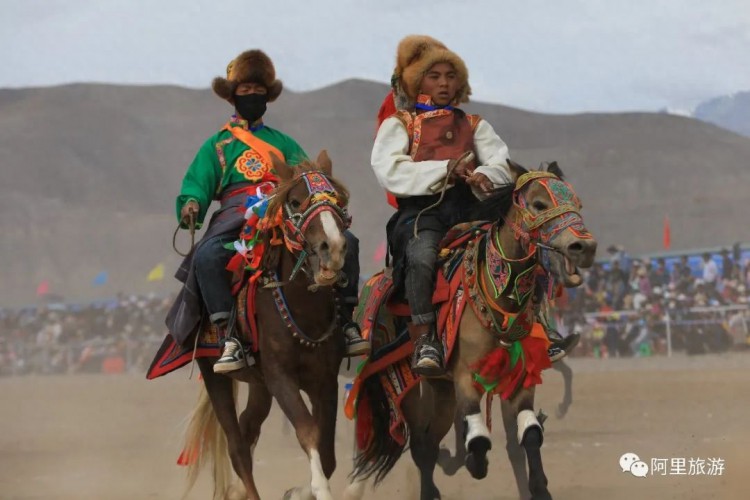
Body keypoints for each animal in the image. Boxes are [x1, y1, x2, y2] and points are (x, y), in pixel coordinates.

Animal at [183, 152, 356, 500]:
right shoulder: (280, 378)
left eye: (338, 199)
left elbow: (327, 451)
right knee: (237, 447)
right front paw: (318, 490)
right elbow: (308, 431)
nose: (333, 249)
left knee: (248, 427)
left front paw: (300, 492)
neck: (304, 309)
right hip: (216, 375)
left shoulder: (325, 380)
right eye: (295, 201)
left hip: (259, 384)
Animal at [346, 161, 600, 500]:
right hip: (408, 388)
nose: (584, 247)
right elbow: (478, 441)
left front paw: (539, 488)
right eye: (538, 204)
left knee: (428, 444)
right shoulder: (466, 376)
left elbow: (530, 434)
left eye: (578, 204)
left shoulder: (520, 378)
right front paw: (473, 462)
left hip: (441, 392)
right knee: (422, 447)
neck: (500, 295)